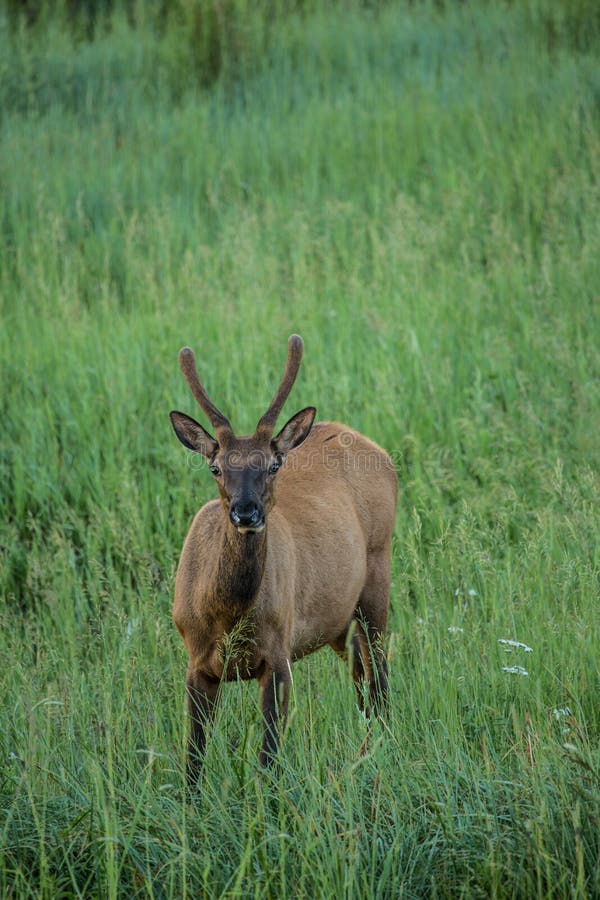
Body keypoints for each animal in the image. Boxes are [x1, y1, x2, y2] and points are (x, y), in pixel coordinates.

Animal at [169, 335, 397, 785]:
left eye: (273, 464)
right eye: (215, 467)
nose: (246, 512)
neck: (228, 618)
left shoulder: (279, 655)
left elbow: (268, 759)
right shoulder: (195, 661)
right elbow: (193, 760)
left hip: (378, 571)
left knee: (379, 679)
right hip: (337, 620)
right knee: (361, 680)